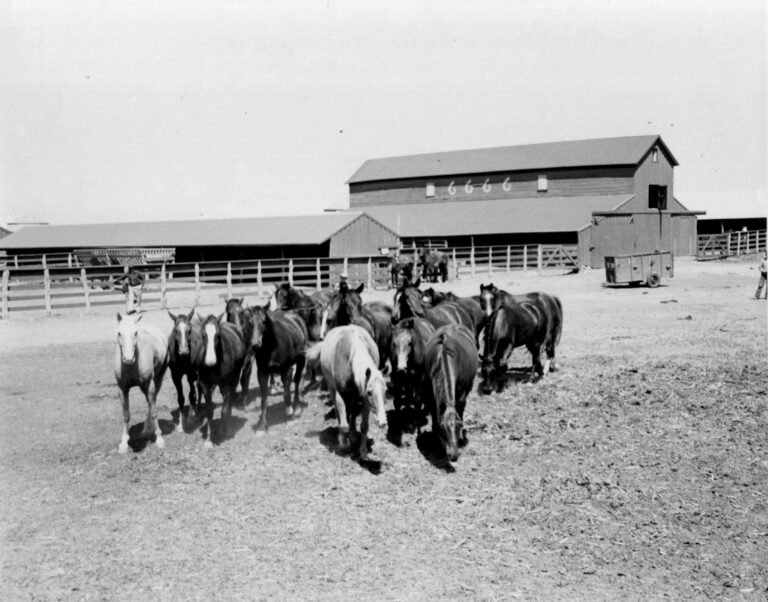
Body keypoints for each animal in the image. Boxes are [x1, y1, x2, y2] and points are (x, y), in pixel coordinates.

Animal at [114, 312, 170, 453]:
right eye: (119, 333)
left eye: (135, 333)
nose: (128, 358)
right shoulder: (122, 388)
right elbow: (126, 414)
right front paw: (124, 443)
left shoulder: (149, 385)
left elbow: (154, 411)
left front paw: (159, 439)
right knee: (149, 403)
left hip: (157, 380)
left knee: (152, 403)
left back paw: (147, 430)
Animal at [191, 313, 247, 448]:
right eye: (203, 335)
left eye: (217, 335)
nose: (210, 361)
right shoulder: (205, 385)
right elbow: (209, 411)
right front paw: (208, 440)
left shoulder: (226, 384)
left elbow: (224, 410)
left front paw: (225, 431)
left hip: (234, 378)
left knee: (230, 398)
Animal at [240, 303, 308, 434]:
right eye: (249, 322)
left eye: (264, 321)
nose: (255, 344)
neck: (272, 347)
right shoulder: (262, 372)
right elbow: (264, 399)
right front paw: (261, 426)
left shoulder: (287, 369)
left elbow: (286, 393)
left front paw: (290, 414)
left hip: (301, 360)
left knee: (297, 380)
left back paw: (295, 408)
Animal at [306, 325, 388, 461]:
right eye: (370, 392)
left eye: (385, 391)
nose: (382, 422)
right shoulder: (342, 394)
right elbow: (344, 425)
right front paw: (344, 445)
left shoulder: (364, 399)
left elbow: (364, 426)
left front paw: (363, 452)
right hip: (332, 388)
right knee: (340, 414)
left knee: (351, 414)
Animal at [423, 324, 478, 462]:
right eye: (443, 427)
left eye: (458, 425)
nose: (453, 455)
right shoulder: (430, 395)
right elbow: (434, 414)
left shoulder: (462, 394)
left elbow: (461, 408)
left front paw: (460, 437)